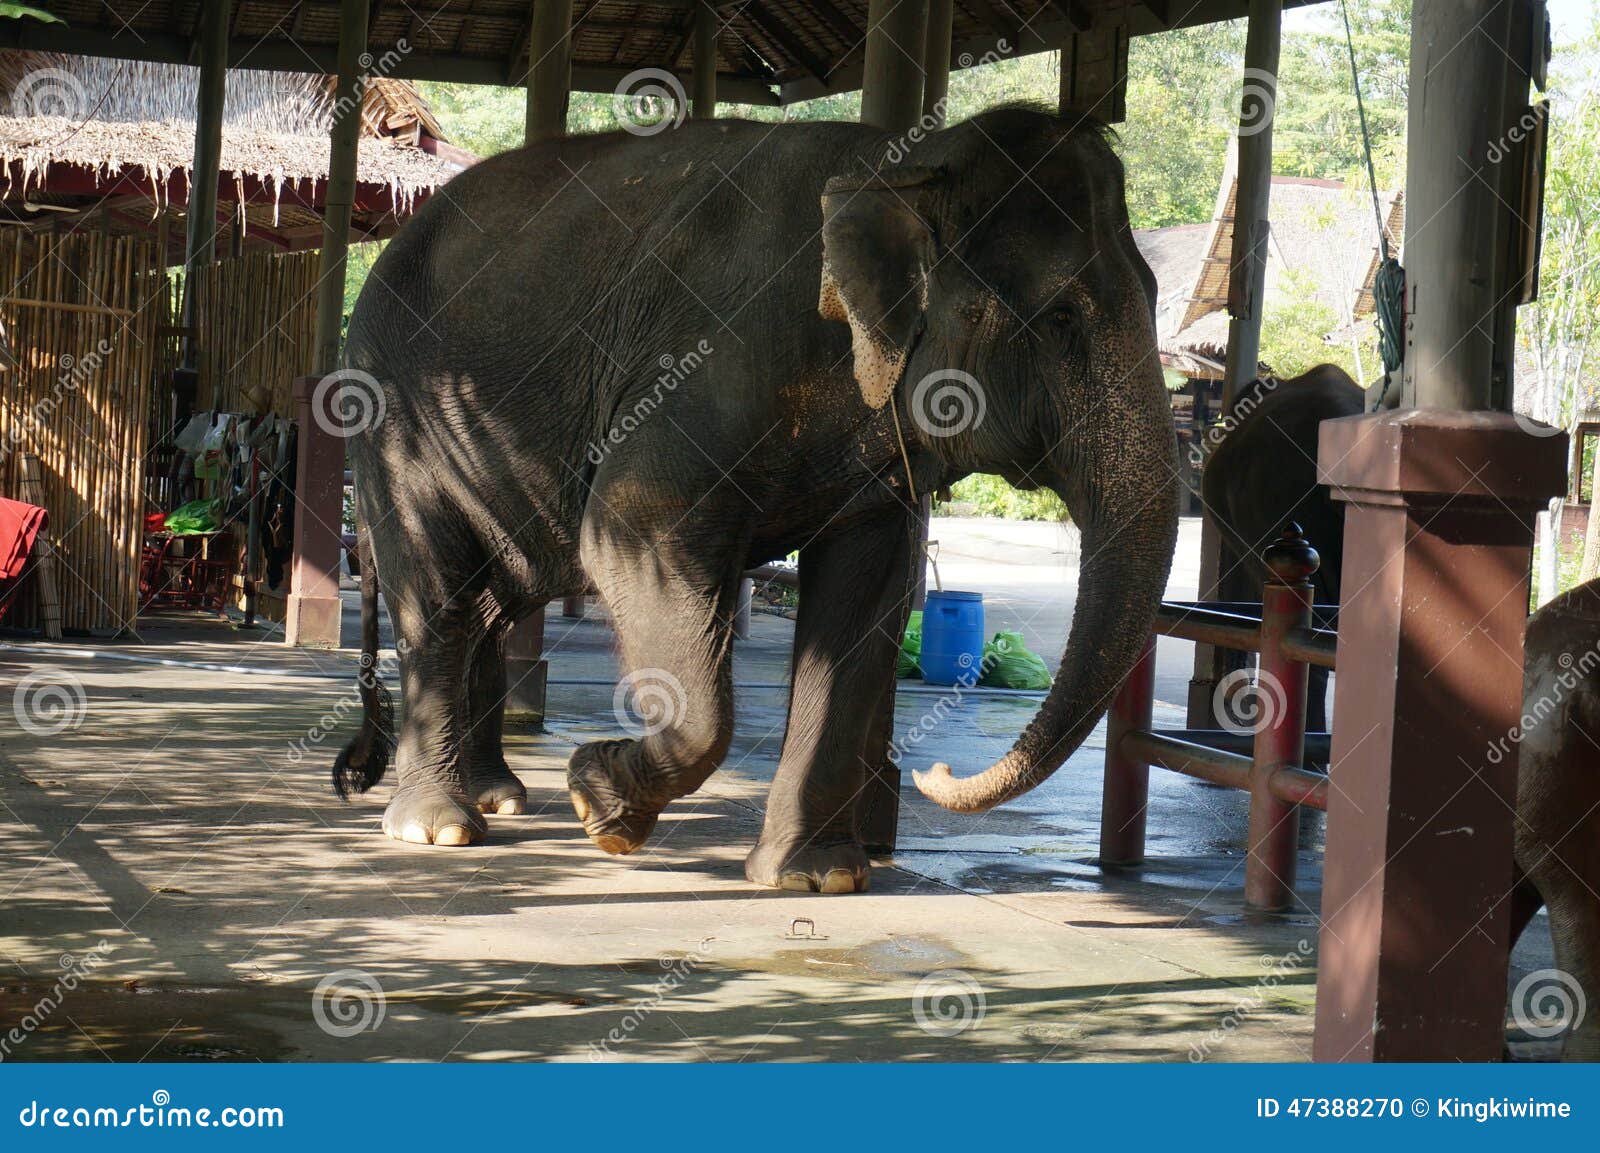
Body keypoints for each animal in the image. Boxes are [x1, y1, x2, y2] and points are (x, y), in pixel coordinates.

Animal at [331, 105, 1180, 893]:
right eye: (1062, 317)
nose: (936, 773)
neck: (896, 162)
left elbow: (869, 589)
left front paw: (815, 878)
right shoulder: (702, 363)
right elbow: (623, 528)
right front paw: (598, 801)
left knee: (489, 601)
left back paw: (497, 797)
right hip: (397, 415)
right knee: (440, 593)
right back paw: (437, 828)